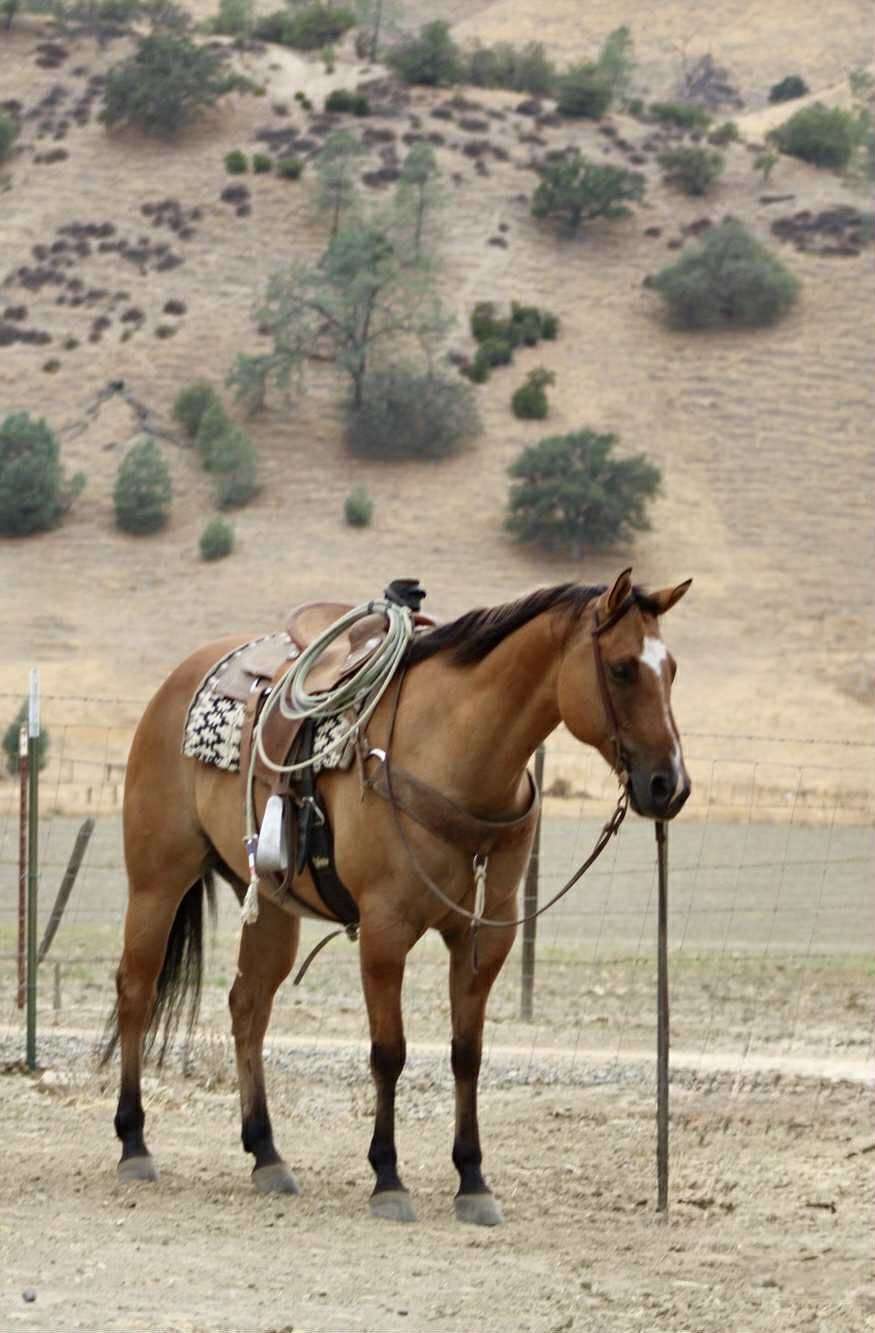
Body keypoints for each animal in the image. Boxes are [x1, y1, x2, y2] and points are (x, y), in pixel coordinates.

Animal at [102, 567, 691, 1226]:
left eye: (671, 670)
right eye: (621, 668)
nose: (669, 785)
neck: (454, 752)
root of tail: (178, 680)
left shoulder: (487, 933)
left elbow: (466, 1053)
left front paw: (473, 1180)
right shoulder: (385, 932)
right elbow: (390, 1051)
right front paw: (387, 1178)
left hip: (272, 908)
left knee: (248, 1007)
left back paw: (267, 1154)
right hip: (157, 881)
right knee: (136, 991)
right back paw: (134, 1142)